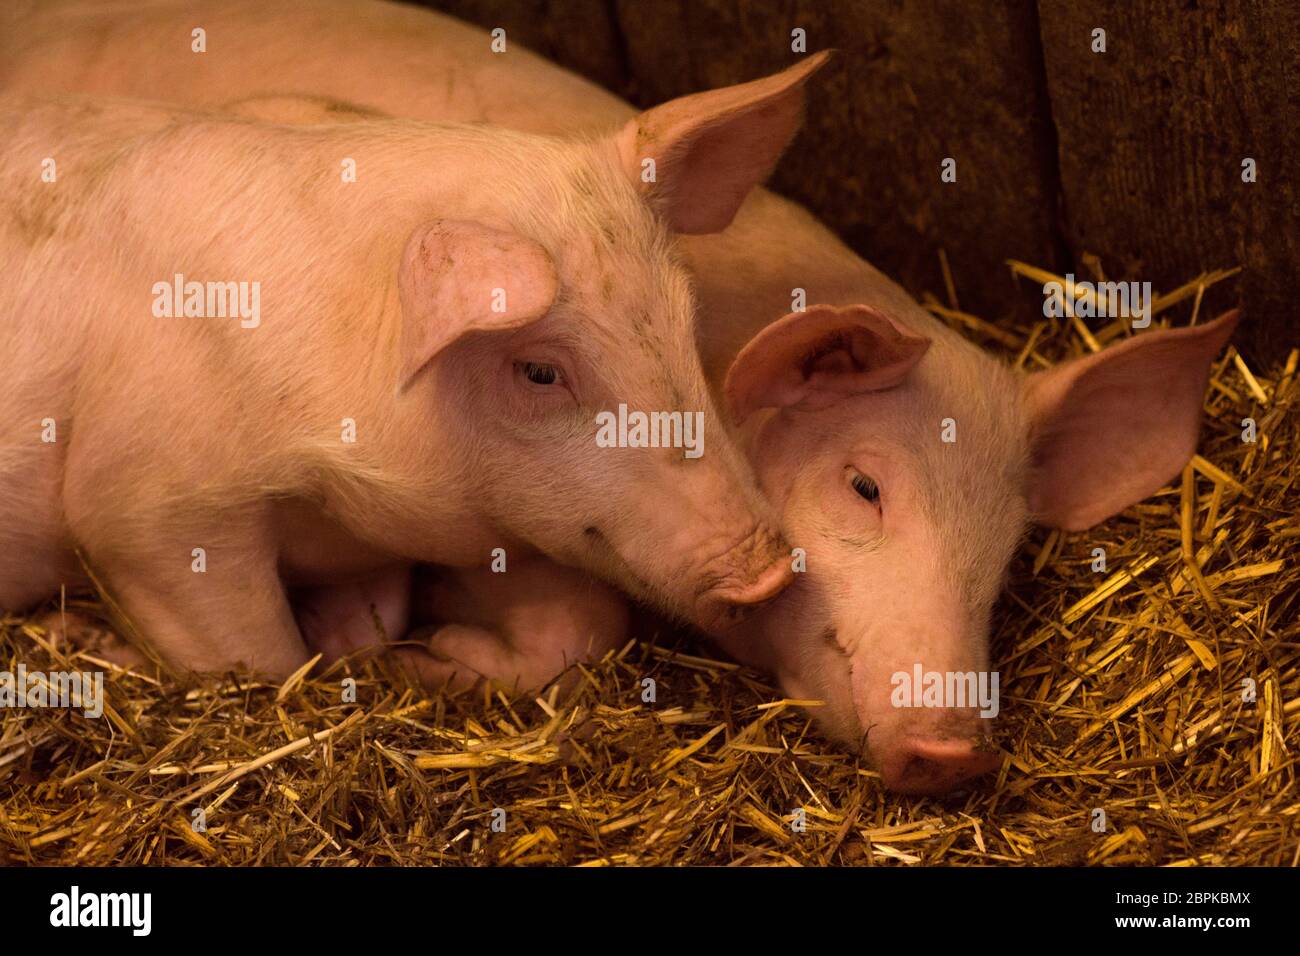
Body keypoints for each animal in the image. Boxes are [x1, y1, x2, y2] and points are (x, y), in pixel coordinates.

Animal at [0, 56, 841, 683]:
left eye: (684, 322)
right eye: (539, 373)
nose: (770, 567)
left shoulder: (493, 513)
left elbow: (579, 620)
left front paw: (418, 657)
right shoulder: (143, 502)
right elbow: (263, 660)